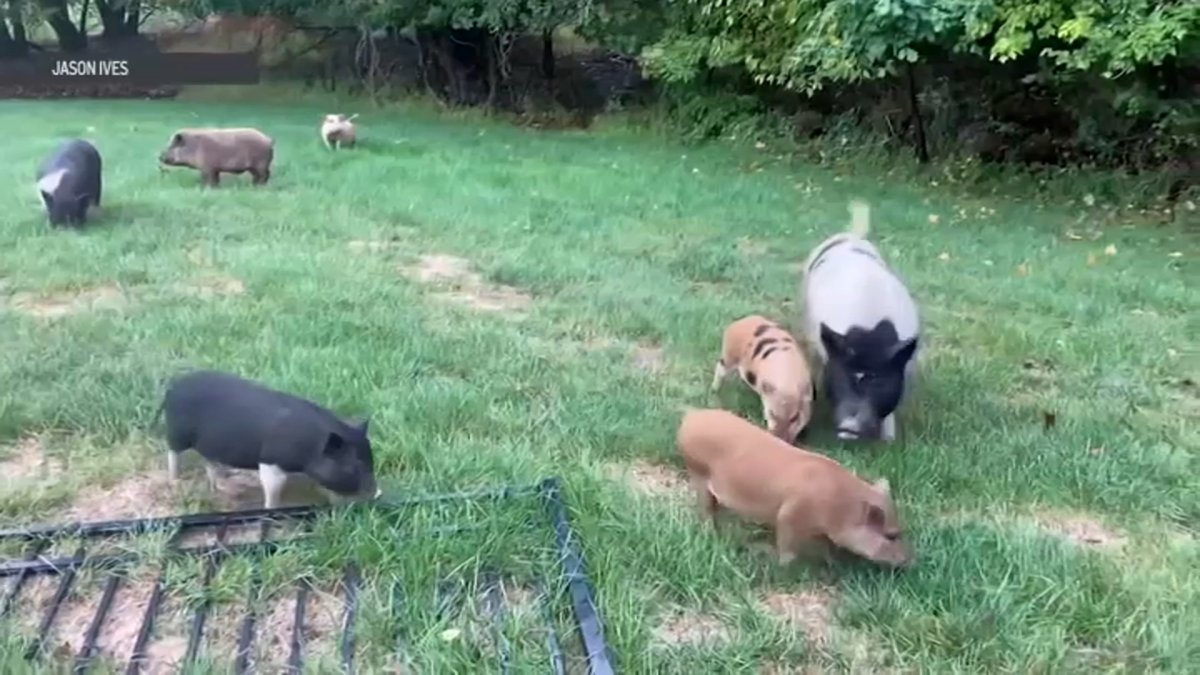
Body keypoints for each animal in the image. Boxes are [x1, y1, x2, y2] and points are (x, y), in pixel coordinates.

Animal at [156, 369, 380, 510]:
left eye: (371, 460)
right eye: (355, 465)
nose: (377, 493)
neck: (310, 448)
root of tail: (173, 387)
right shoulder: (270, 460)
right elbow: (273, 487)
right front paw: (272, 508)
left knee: (209, 461)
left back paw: (220, 487)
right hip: (177, 433)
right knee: (173, 452)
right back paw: (175, 481)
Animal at [677, 407, 912, 568]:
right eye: (891, 535)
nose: (910, 560)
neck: (840, 504)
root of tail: (691, 416)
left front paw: (832, 562)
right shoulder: (788, 514)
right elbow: (787, 545)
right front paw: (784, 565)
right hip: (697, 471)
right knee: (705, 508)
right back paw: (712, 532)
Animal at [710, 314, 815, 443]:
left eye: (794, 418)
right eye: (772, 413)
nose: (780, 439)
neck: (786, 383)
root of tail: (739, 322)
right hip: (729, 355)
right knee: (720, 368)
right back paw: (714, 389)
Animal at [799, 201, 920, 443]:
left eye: (879, 381)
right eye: (842, 376)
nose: (850, 427)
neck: (869, 337)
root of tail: (850, 236)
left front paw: (889, 441)